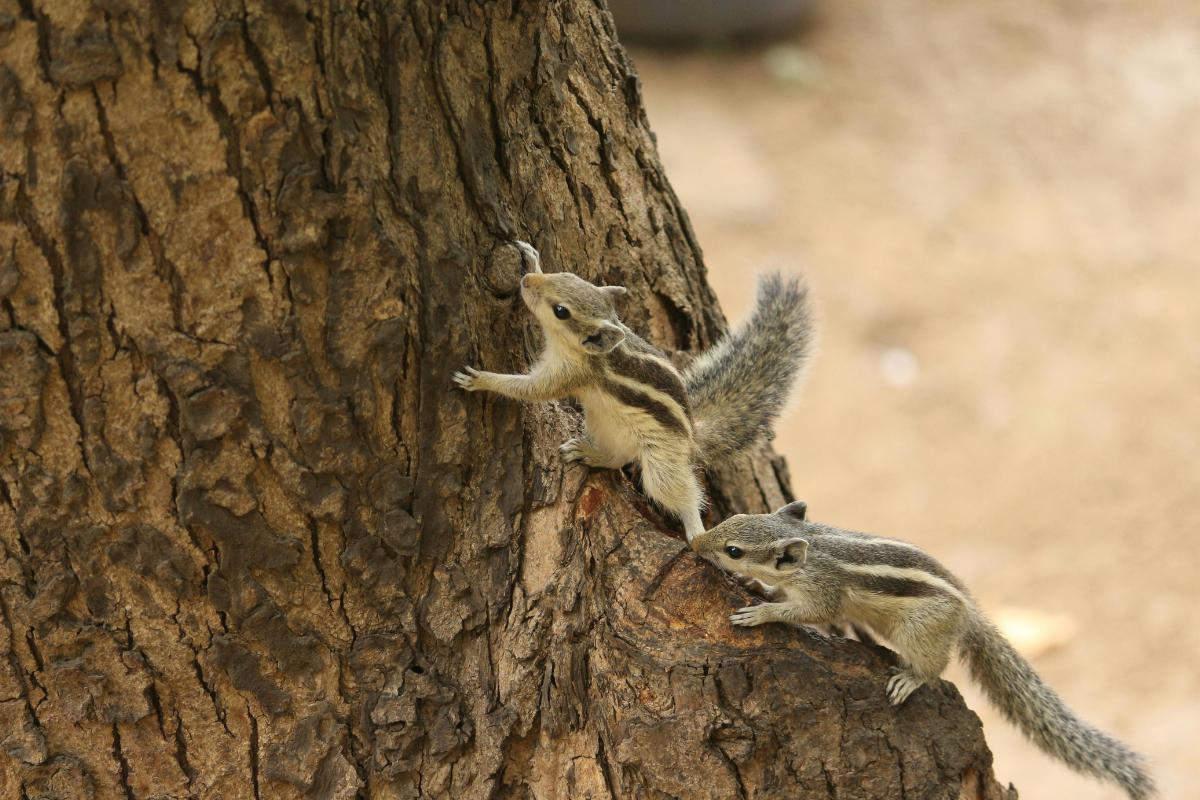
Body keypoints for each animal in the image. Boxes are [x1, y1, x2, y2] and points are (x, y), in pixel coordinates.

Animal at [454, 241, 812, 542]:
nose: (527, 281)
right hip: (603, 424)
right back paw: (591, 453)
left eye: (561, 311)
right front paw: (532, 258)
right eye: (566, 275)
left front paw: (481, 379)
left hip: (661, 460)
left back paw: (696, 531)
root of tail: (691, 438)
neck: (590, 350)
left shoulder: (568, 374)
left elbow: (531, 390)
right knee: (616, 458)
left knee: (676, 490)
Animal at [691, 502, 1155, 800]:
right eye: (733, 518)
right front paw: (755, 585)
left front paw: (761, 611)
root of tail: (968, 614)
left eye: (734, 551)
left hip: (919, 629)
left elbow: (806, 611)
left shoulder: (822, 592)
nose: (695, 545)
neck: (811, 545)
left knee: (937, 667)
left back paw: (911, 678)